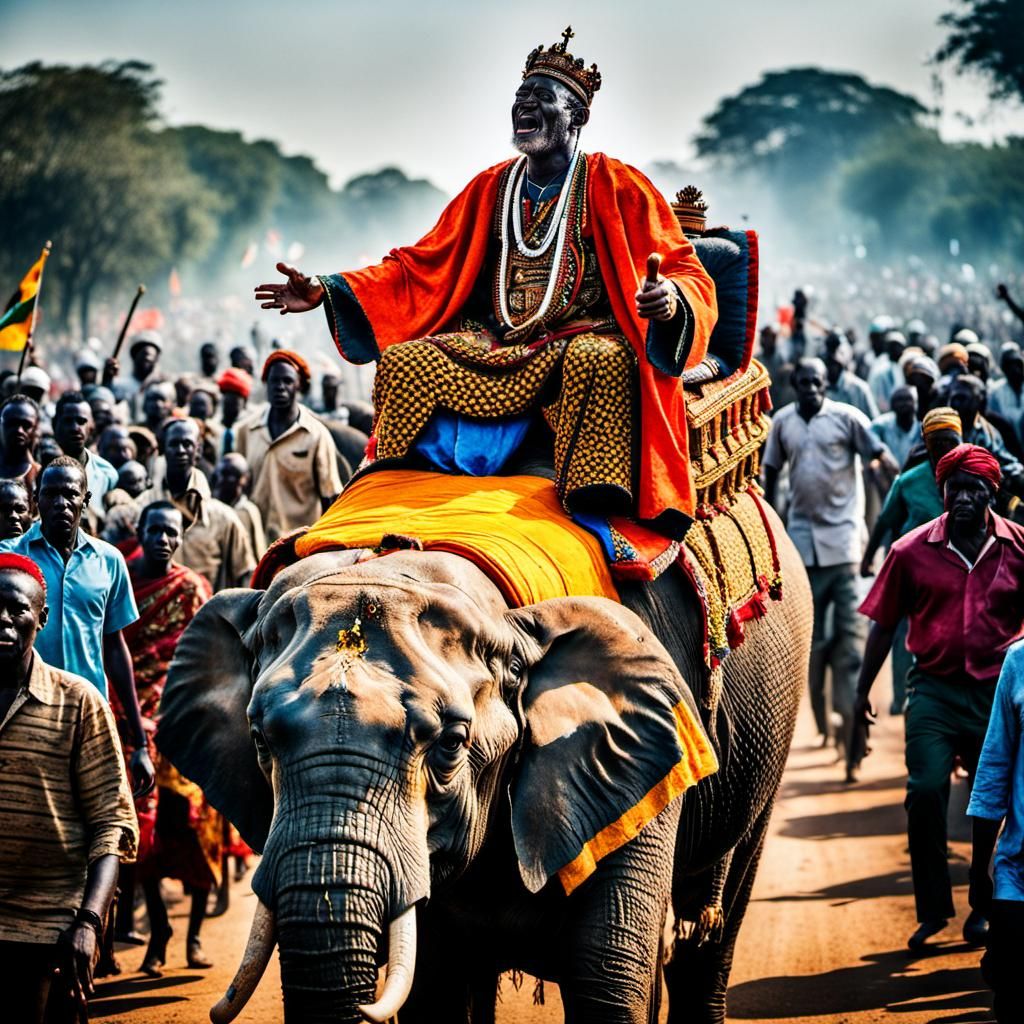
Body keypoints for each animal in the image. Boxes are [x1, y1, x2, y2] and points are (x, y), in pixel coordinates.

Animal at [158, 504, 811, 1024]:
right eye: (259, 740)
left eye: (450, 745)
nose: (367, 1005)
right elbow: (435, 985)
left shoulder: (643, 754)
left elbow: (608, 974)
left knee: (713, 932)